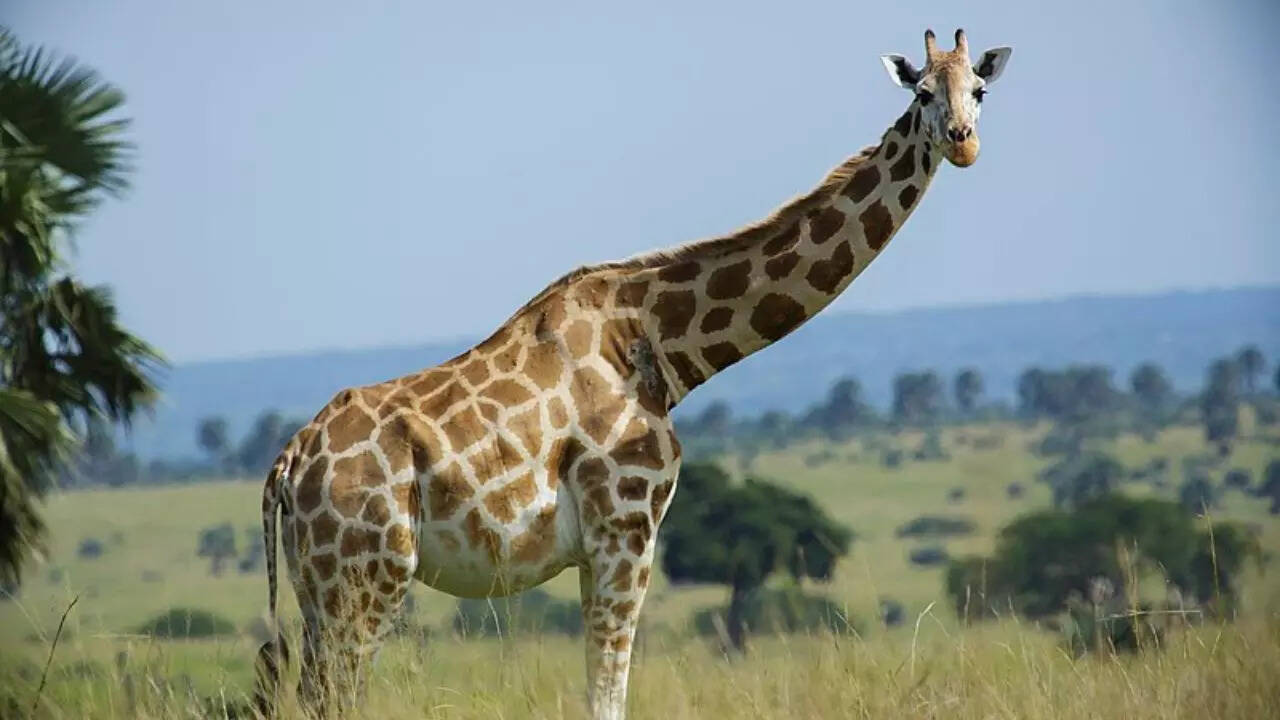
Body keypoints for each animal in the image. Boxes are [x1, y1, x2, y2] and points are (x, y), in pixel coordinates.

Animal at [254, 28, 1011, 720]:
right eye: (921, 92)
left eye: (979, 89)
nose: (964, 142)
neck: (663, 345)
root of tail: (287, 465)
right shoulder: (626, 526)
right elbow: (607, 693)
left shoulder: (601, 547)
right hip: (367, 578)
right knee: (334, 695)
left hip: (321, 588)